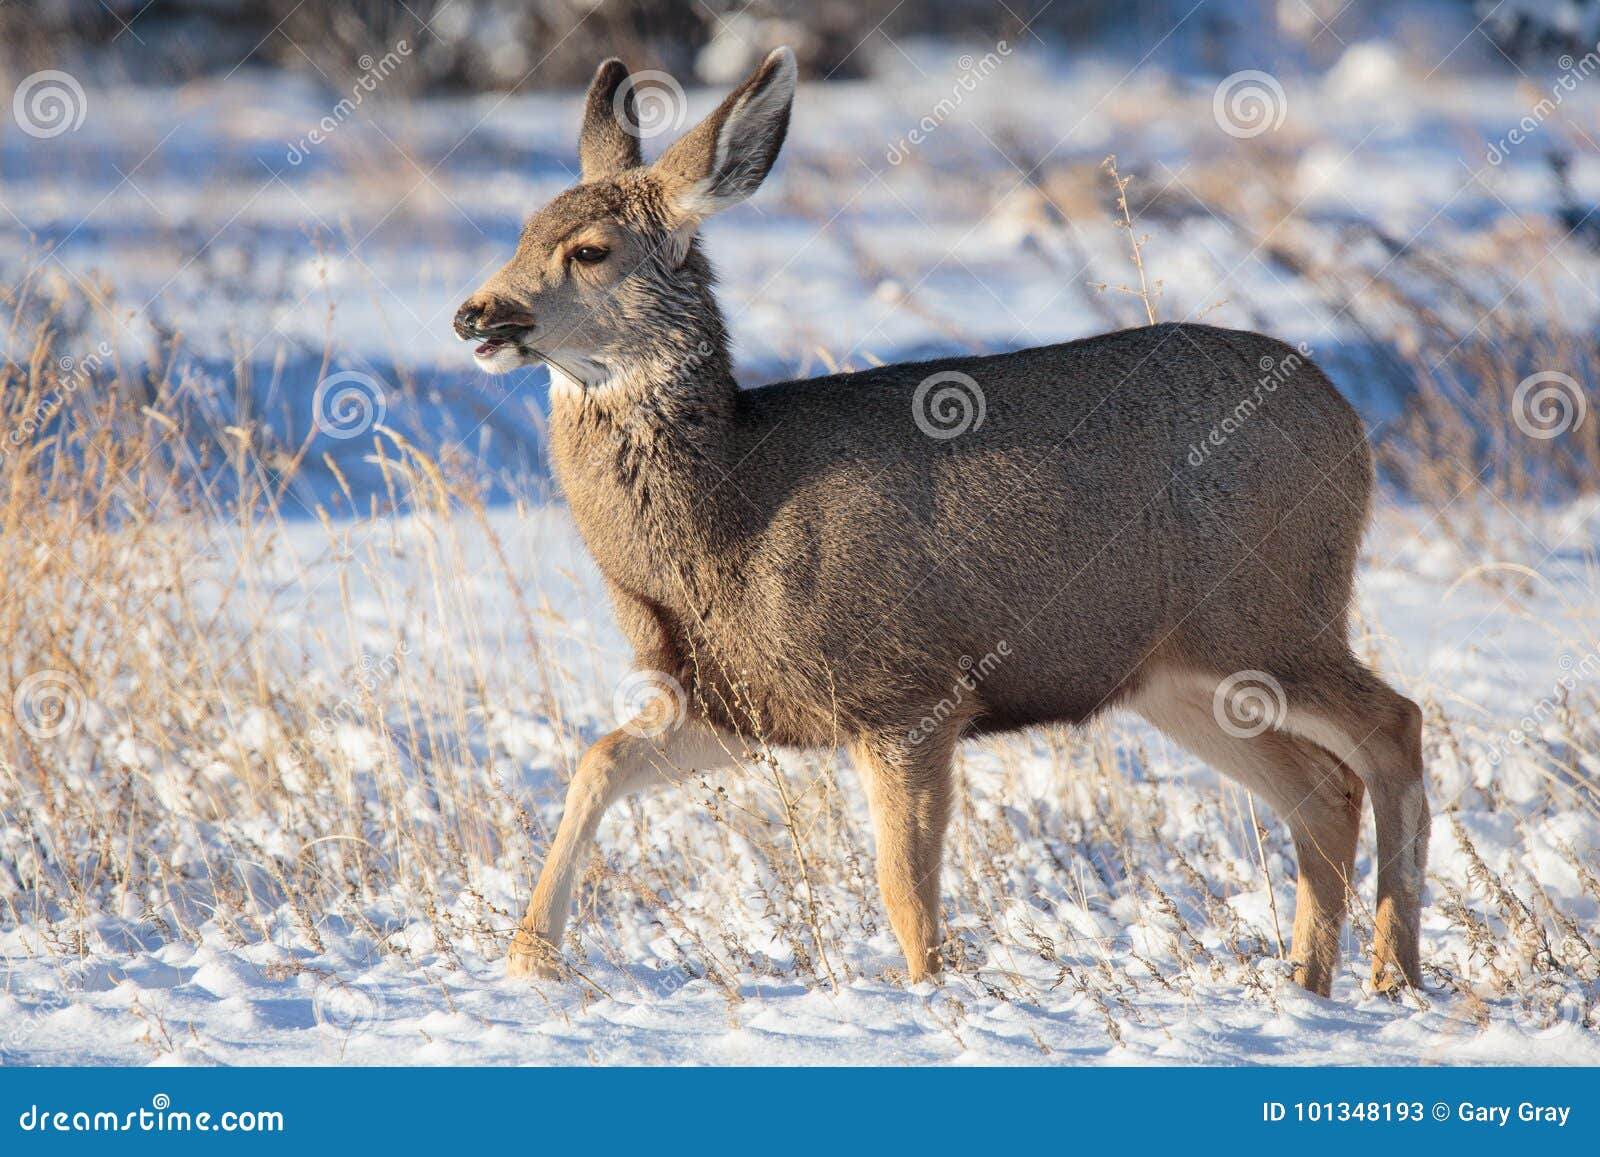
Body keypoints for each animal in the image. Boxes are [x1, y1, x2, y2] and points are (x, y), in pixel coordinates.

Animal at [453, 47, 1429, 999]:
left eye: (589, 250)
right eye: (520, 232)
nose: (473, 313)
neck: (730, 517)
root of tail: (1350, 424)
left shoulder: (907, 689)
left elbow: (904, 889)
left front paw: (931, 997)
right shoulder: (748, 700)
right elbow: (598, 760)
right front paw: (528, 960)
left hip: (1269, 612)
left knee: (1394, 725)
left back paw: (1393, 976)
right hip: (1178, 673)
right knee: (1322, 786)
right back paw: (1308, 985)